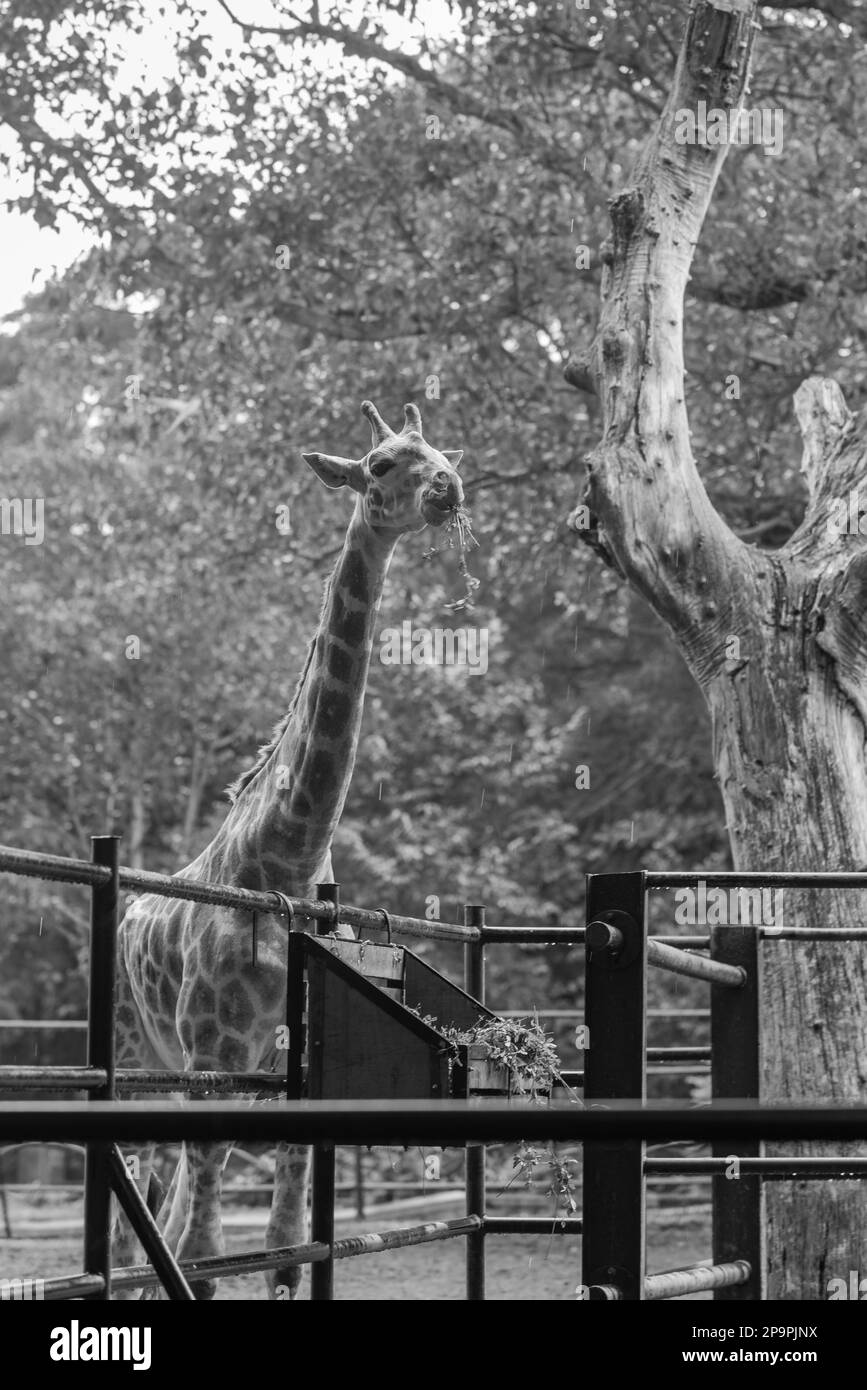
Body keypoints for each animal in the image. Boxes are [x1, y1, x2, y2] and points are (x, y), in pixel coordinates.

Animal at [112, 400, 464, 1298]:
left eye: (443, 449)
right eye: (380, 464)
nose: (446, 488)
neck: (288, 860)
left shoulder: (287, 1075)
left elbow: (284, 1253)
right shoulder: (212, 1052)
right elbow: (205, 1255)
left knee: (163, 1220)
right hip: (141, 1058)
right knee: (147, 1225)